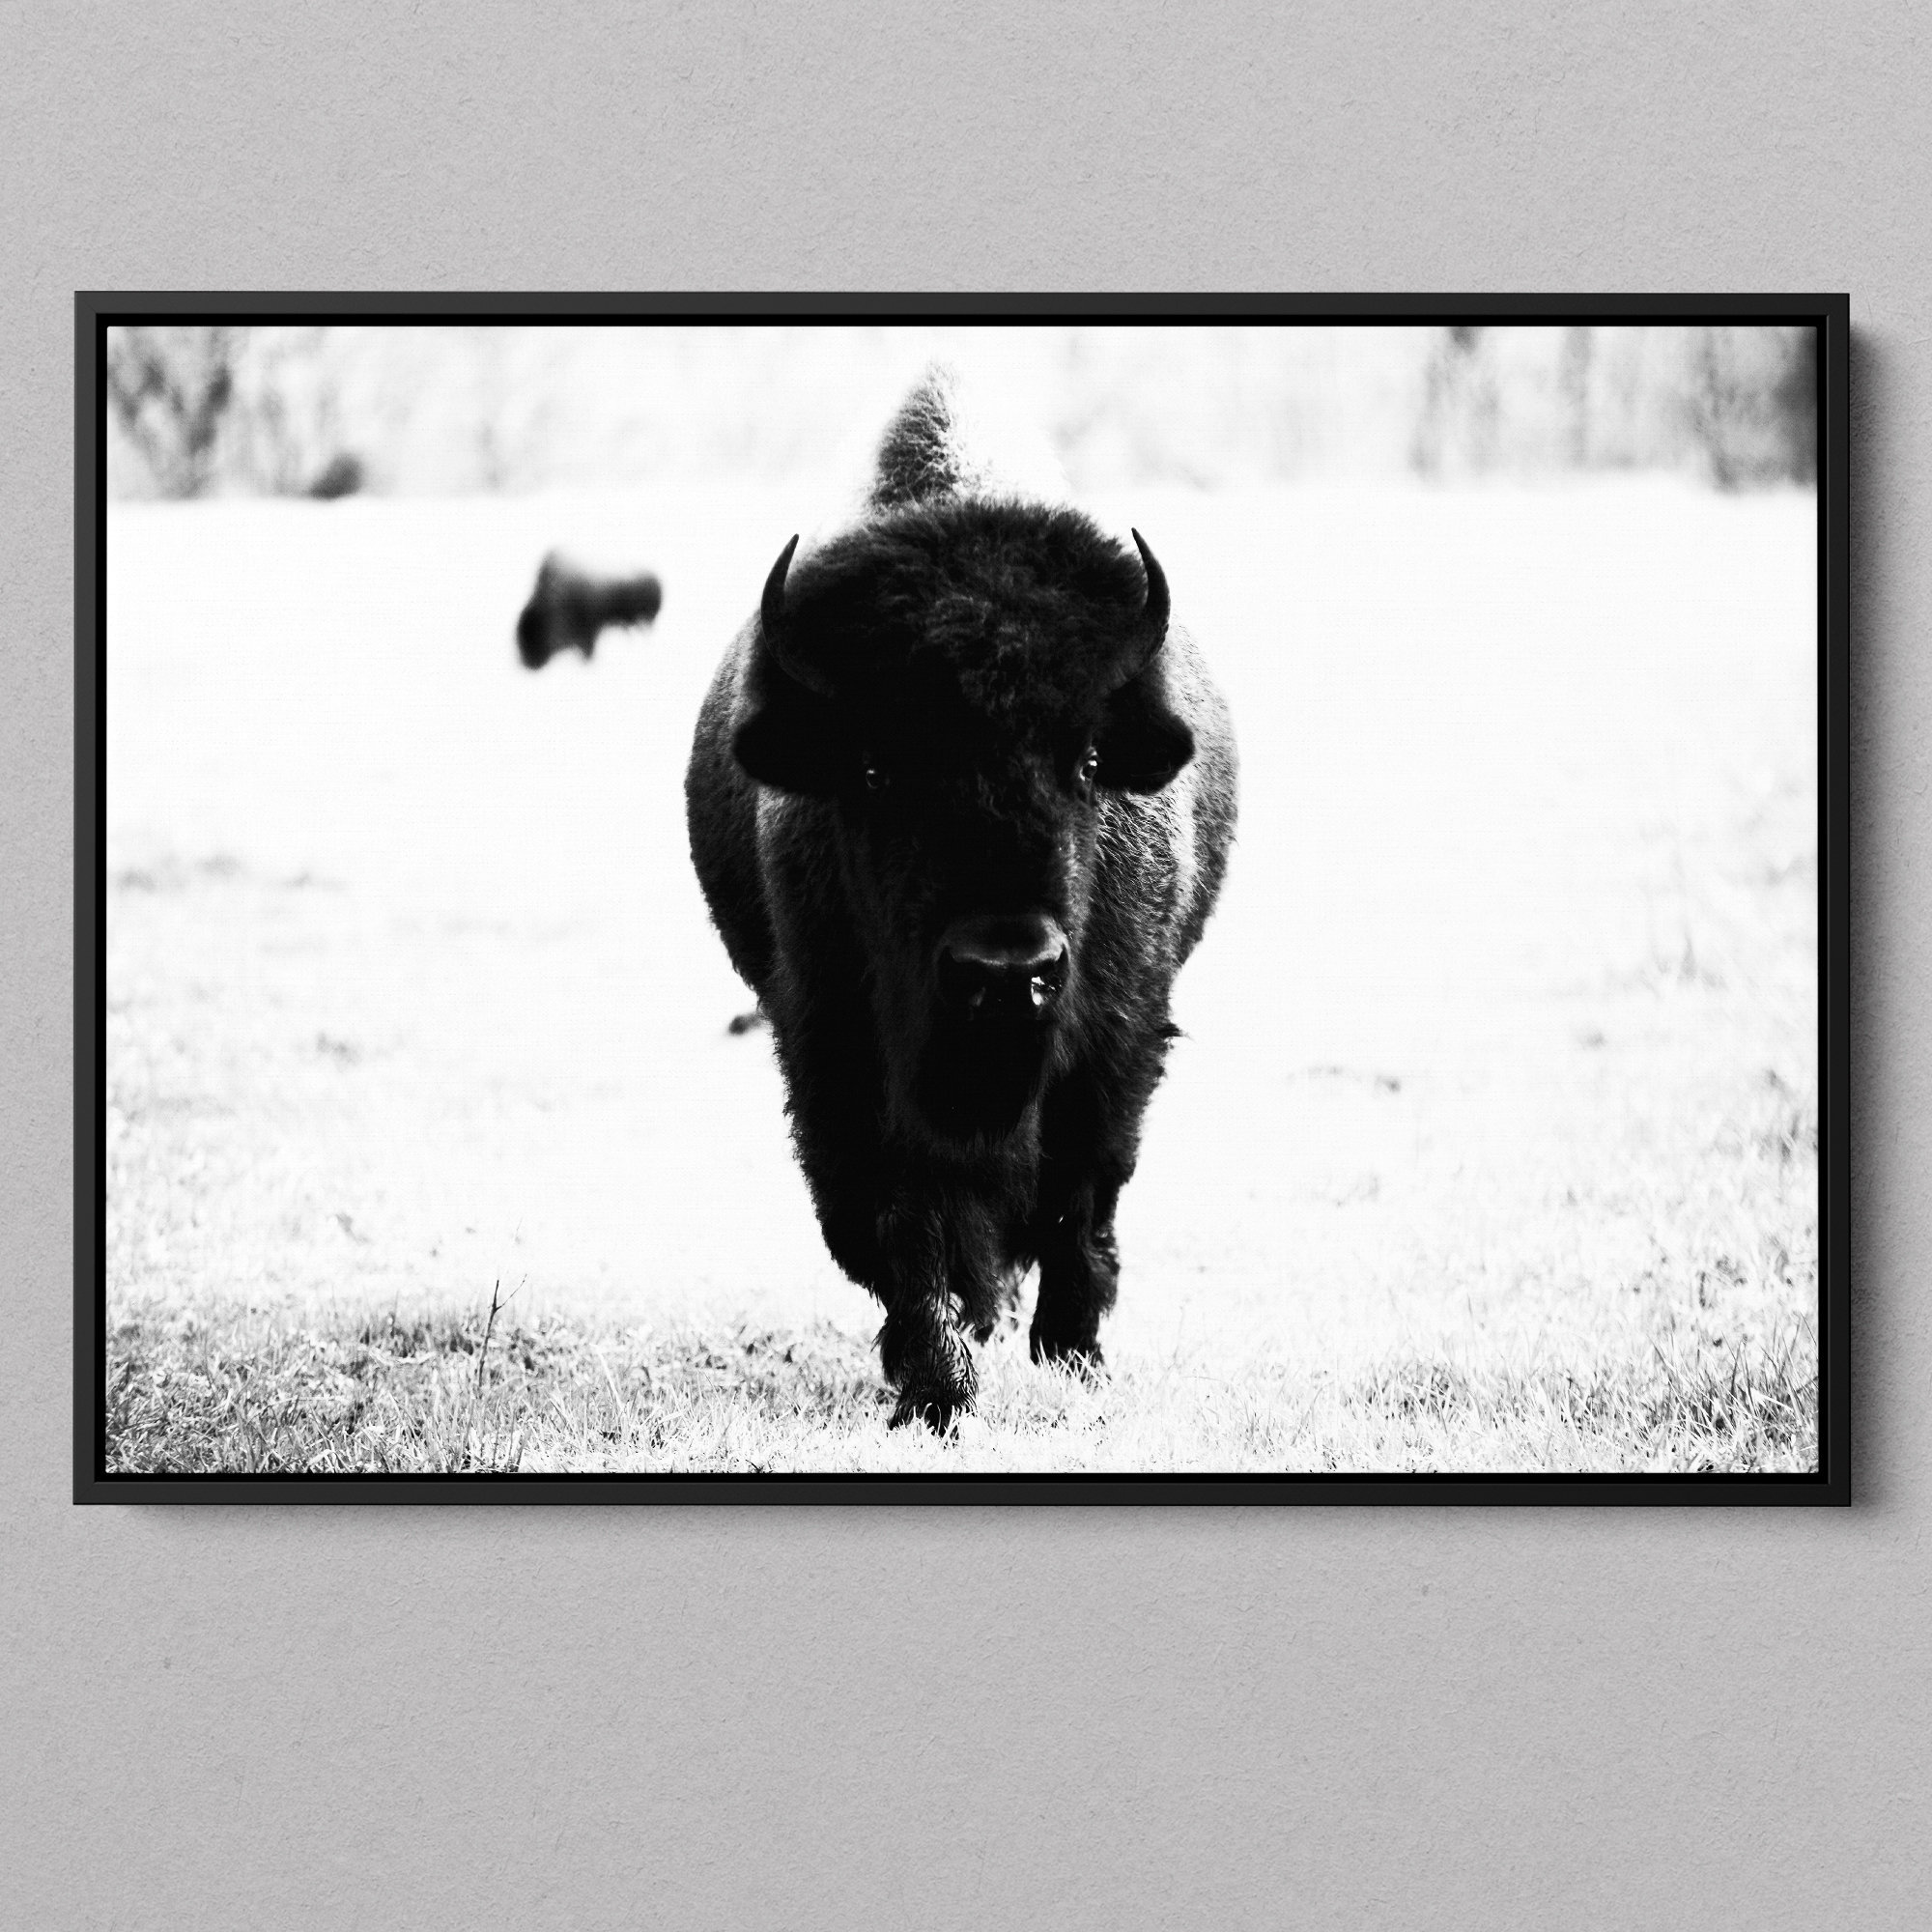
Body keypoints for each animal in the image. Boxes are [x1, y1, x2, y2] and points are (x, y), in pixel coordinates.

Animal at [685, 370, 1237, 1428]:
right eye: (873, 768)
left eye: (1087, 760)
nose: (1005, 967)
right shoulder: (839, 1055)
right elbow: (901, 1220)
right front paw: (934, 1387)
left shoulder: (1115, 1041)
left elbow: (1079, 1200)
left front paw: (1072, 1356)